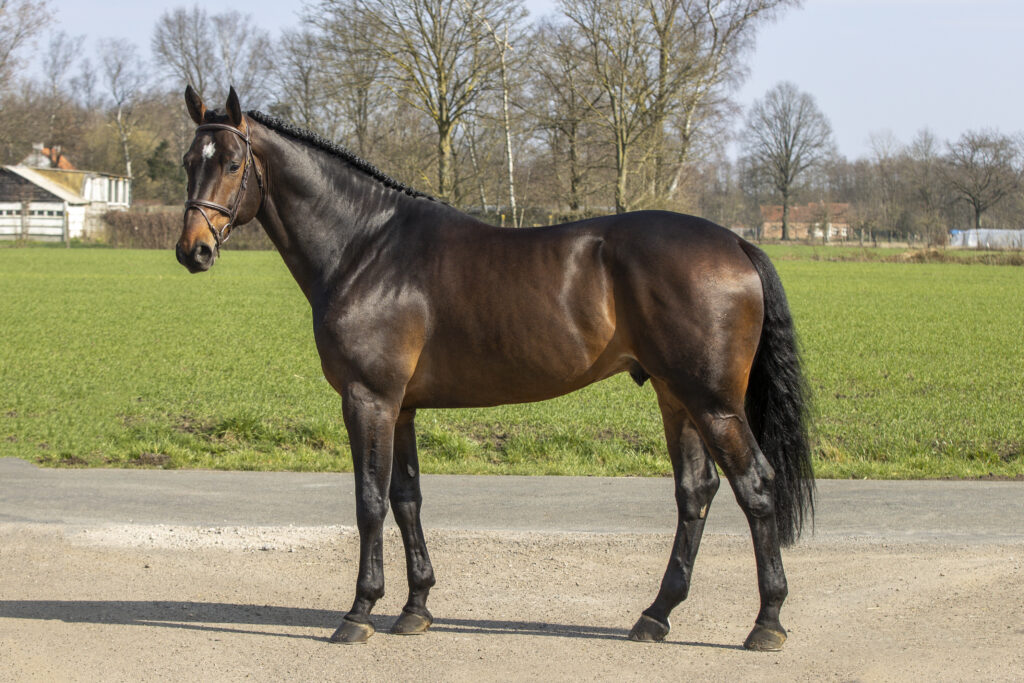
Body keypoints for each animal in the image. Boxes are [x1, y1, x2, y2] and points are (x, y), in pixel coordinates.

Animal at [175, 86, 814, 650]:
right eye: (187, 161)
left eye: (232, 162)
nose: (192, 250)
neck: (366, 248)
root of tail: (735, 243)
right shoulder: (401, 407)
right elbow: (406, 498)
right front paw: (415, 608)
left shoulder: (367, 399)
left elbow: (370, 501)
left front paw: (359, 611)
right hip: (674, 395)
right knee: (695, 492)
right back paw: (656, 615)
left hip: (713, 403)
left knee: (755, 487)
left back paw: (767, 623)